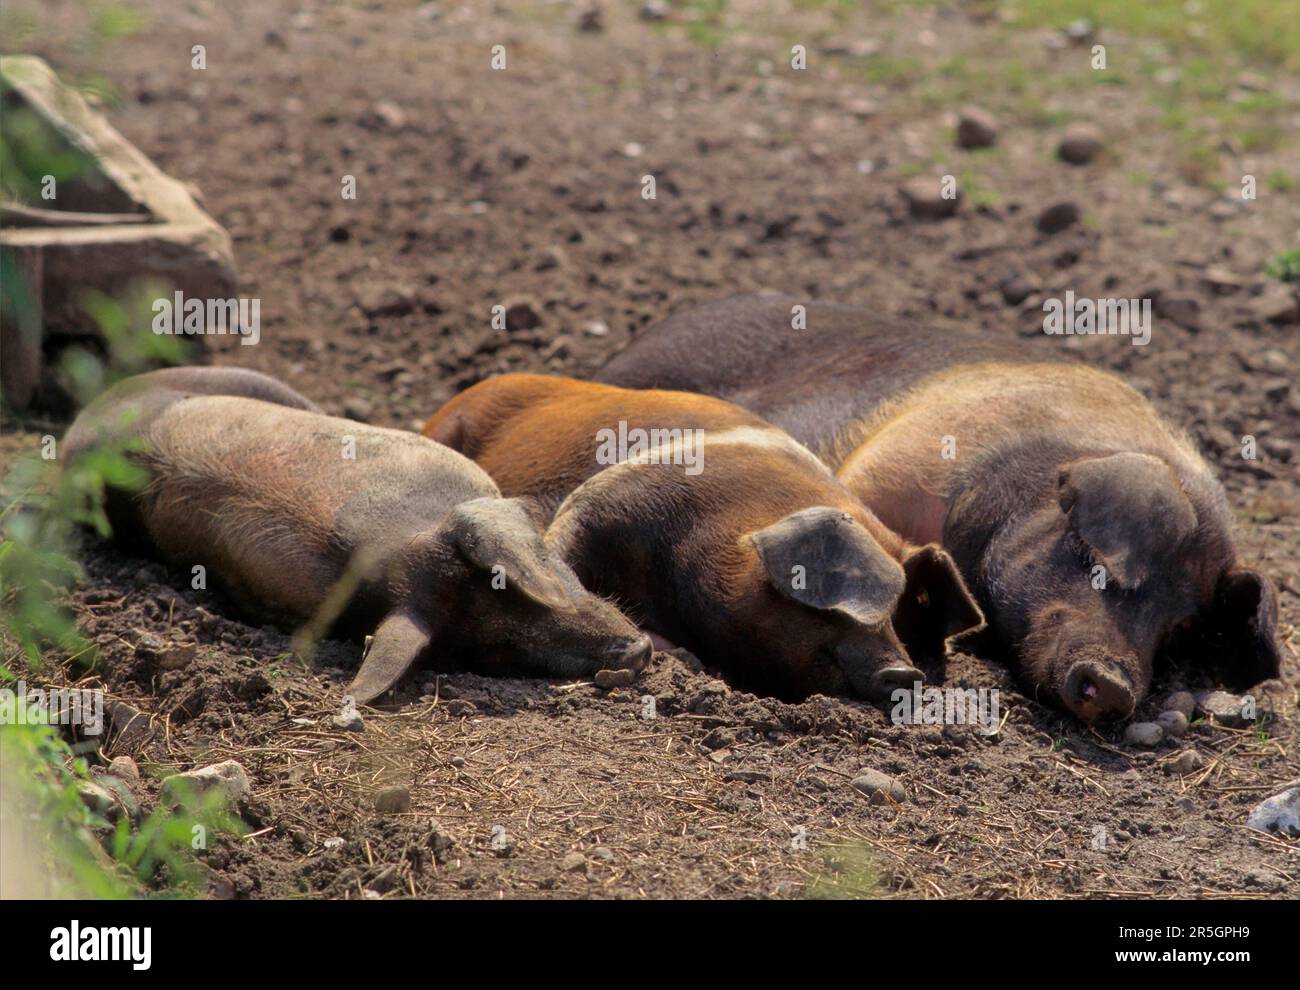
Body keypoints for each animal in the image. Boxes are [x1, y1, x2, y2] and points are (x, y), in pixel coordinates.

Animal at [422, 373, 982, 702]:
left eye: (902, 619)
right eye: (874, 606)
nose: (906, 673)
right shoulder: (598, 501)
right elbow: (562, 558)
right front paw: (678, 658)